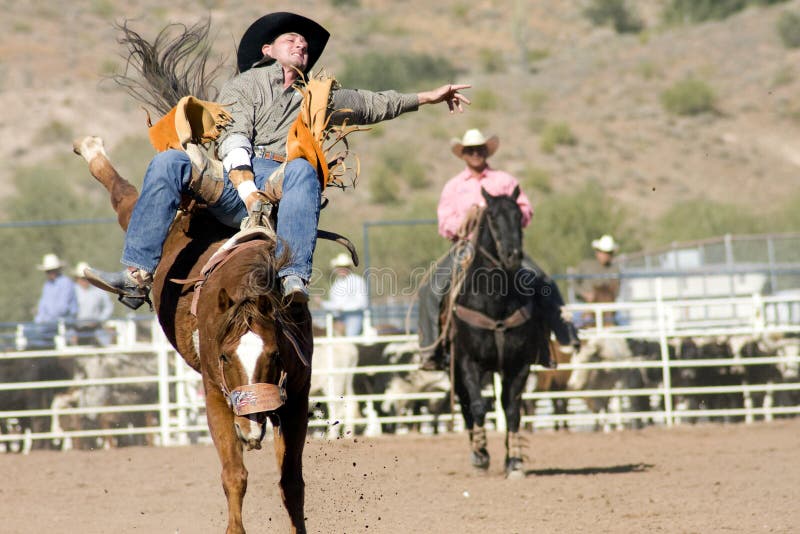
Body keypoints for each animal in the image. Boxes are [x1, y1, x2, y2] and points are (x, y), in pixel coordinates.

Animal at [72, 137, 312, 534]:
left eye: (275, 355)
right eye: (226, 356)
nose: (249, 425)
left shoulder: (296, 397)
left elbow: (291, 482)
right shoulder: (214, 393)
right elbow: (234, 476)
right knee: (129, 199)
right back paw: (90, 149)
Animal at [446, 187, 552, 478]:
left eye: (519, 215)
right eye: (492, 217)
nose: (512, 255)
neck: (494, 301)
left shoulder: (519, 364)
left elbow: (512, 410)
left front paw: (514, 460)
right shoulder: (467, 362)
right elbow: (478, 407)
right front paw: (481, 456)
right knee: (467, 407)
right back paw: (477, 453)